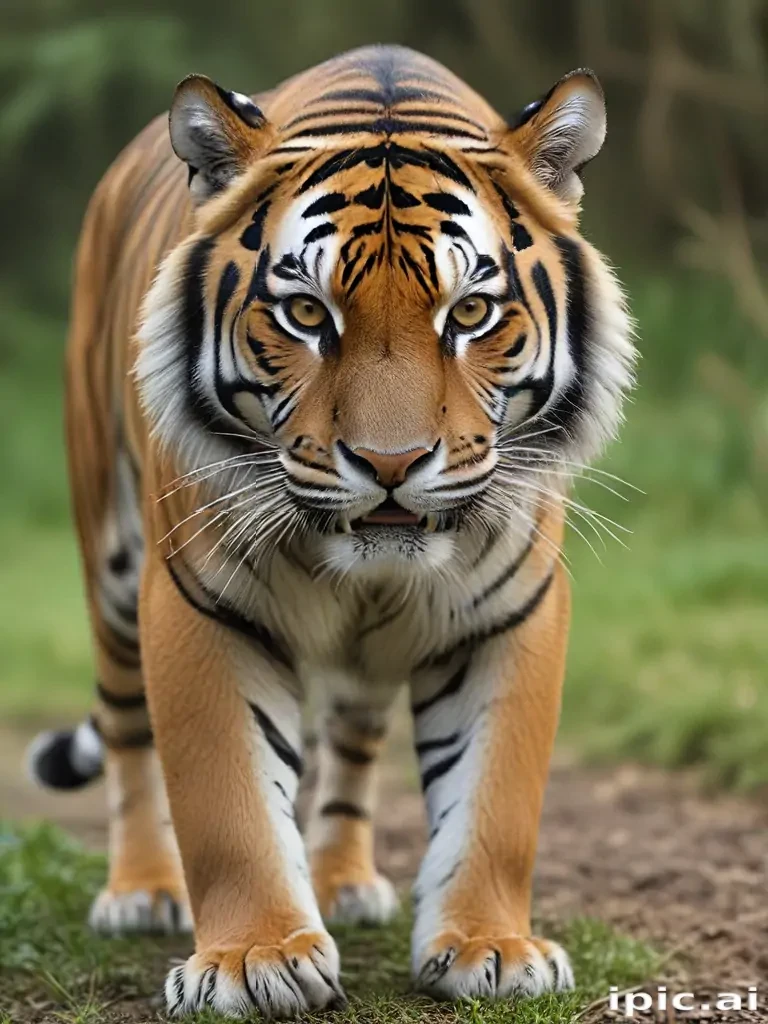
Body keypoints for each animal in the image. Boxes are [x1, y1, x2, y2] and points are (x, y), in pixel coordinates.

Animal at [28, 44, 634, 1016]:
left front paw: (491, 946)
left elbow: (495, 802)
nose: (390, 463)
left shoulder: (514, 608)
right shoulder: (197, 602)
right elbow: (229, 803)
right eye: (307, 314)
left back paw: (345, 879)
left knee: (353, 739)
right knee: (125, 732)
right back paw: (140, 892)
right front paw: (255, 959)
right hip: (111, 563)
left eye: (470, 314)